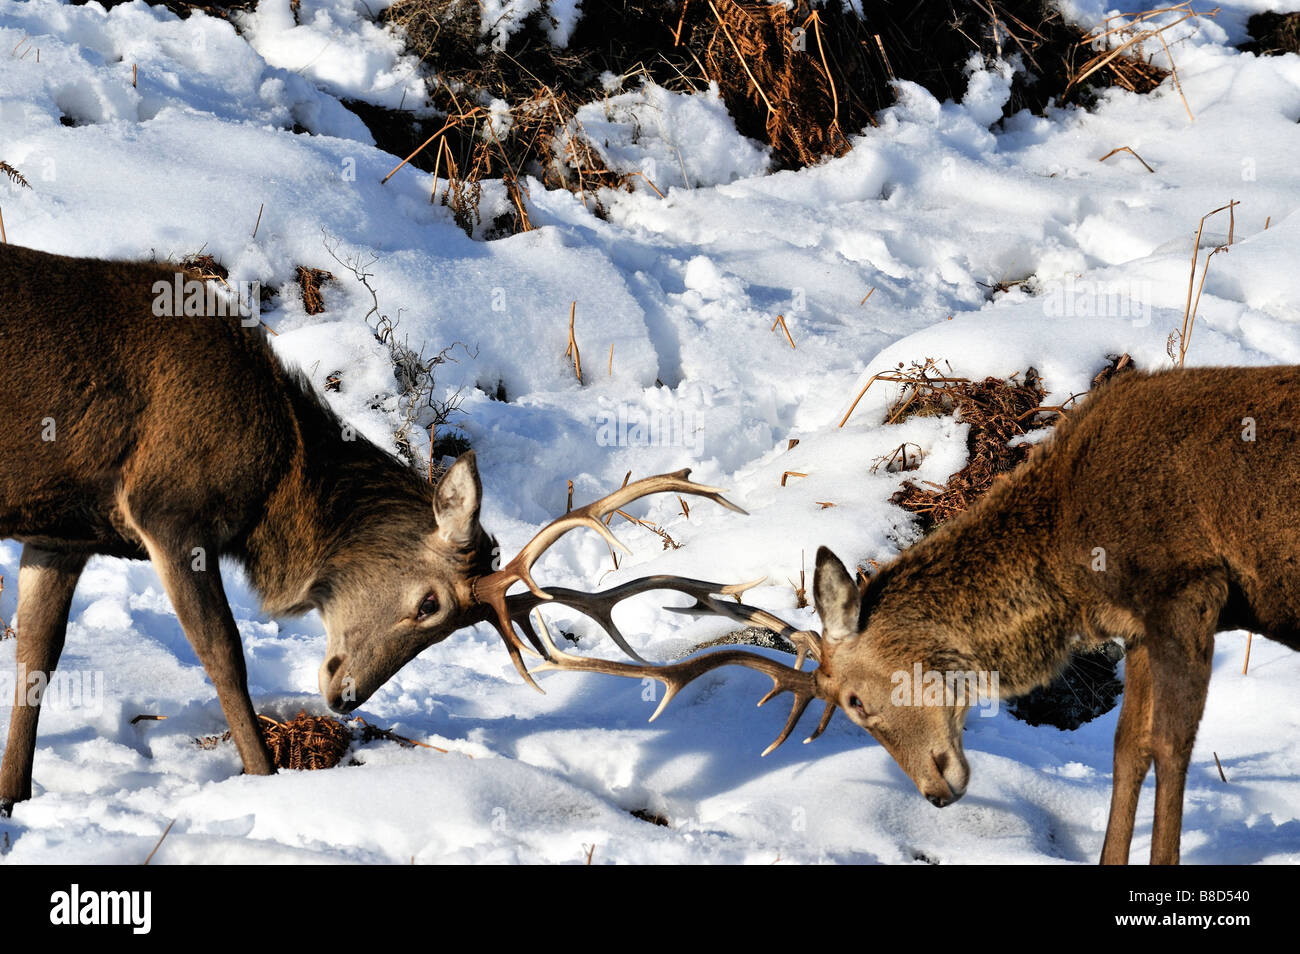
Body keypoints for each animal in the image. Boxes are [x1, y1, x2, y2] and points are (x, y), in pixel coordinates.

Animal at [0, 242, 757, 816]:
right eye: (430, 604)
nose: (346, 698)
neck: (278, 475)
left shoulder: (61, 531)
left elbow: (36, 652)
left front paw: (14, 797)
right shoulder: (168, 507)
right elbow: (223, 654)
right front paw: (265, 781)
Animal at [527, 364, 1300, 865]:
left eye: (856, 701)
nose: (934, 793)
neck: (1074, 555)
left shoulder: (1187, 590)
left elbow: (1170, 750)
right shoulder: (1139, 628)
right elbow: (1125, 751)